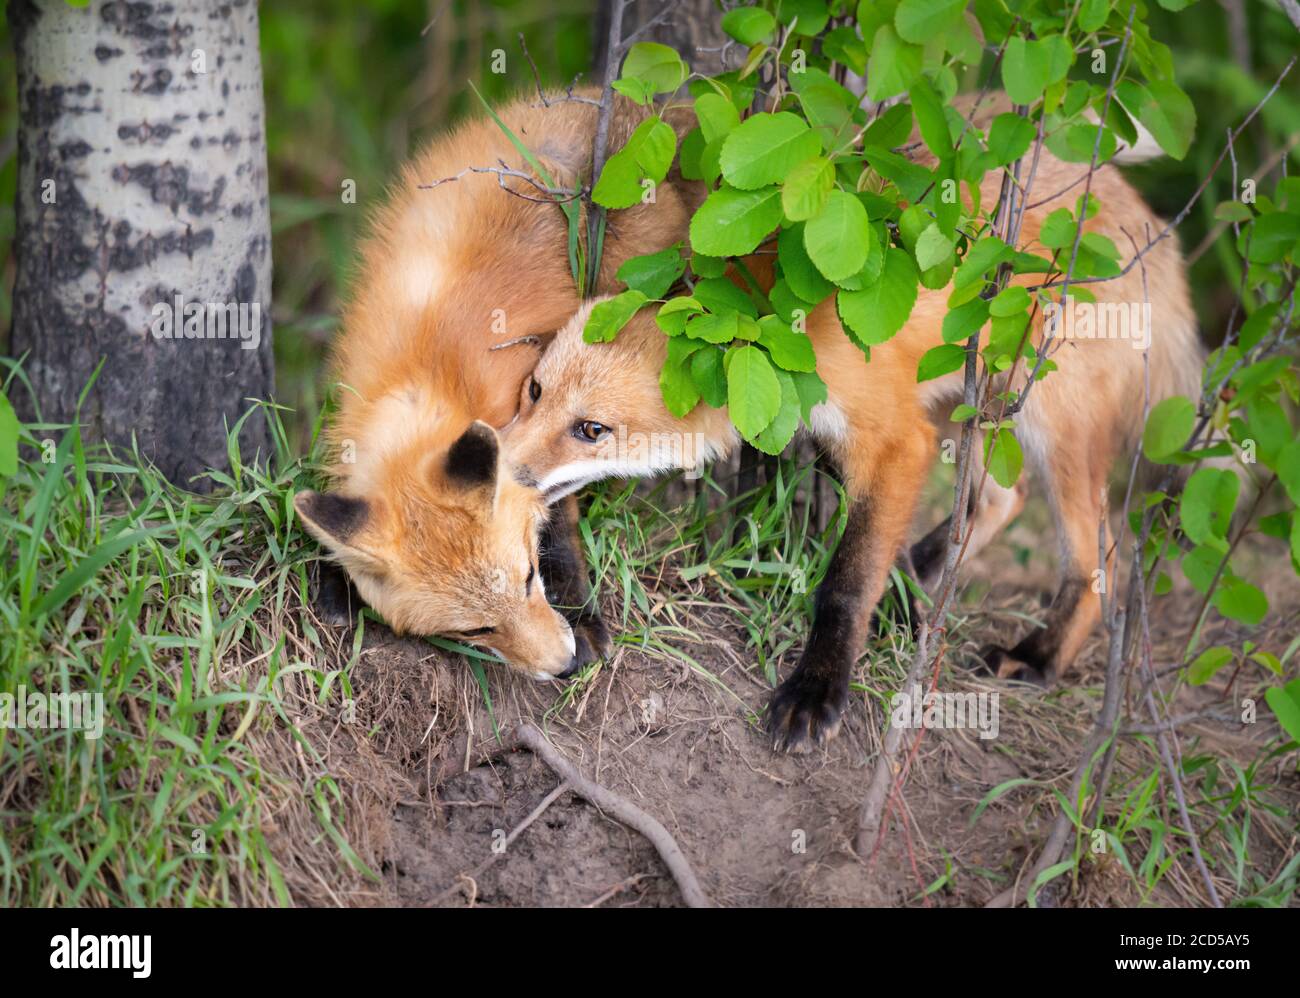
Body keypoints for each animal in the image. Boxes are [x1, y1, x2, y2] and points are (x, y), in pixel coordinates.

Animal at [295, 90, 702, 678]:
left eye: (531, 577)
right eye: (477, 630)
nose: (563, 665)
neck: (422, 377)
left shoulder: (540, 426)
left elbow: (558, 523)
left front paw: (581, 612)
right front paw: (335, 581)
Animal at [502, 122, 1203, 748]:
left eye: (592, 429)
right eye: (533, 392)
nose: (496, 461)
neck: (786, 320)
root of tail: (1131, 203)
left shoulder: (895, 437)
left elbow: (846, 579)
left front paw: (817, 688)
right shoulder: (859, 434)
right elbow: (873, 552)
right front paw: (901, 598)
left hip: (1046, 417)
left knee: (1099, 557)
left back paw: (1041, 656)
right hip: (972, 405)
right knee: (1000, 500)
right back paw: (924, 580)